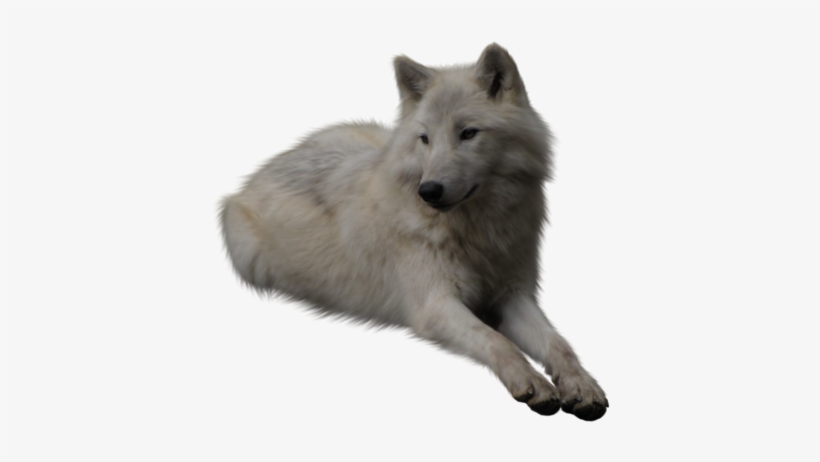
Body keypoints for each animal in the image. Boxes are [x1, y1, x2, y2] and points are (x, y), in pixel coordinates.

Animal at [220, 44, 608, 420]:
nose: (429, 191)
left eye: (468, 133)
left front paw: (581, 385)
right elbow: (497, 341)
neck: (478, 231)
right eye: (425, 139)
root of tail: (268, 166)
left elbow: (559, 344)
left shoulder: (512, 295)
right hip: (247, 253)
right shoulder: (434, 305)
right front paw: (533, 383)